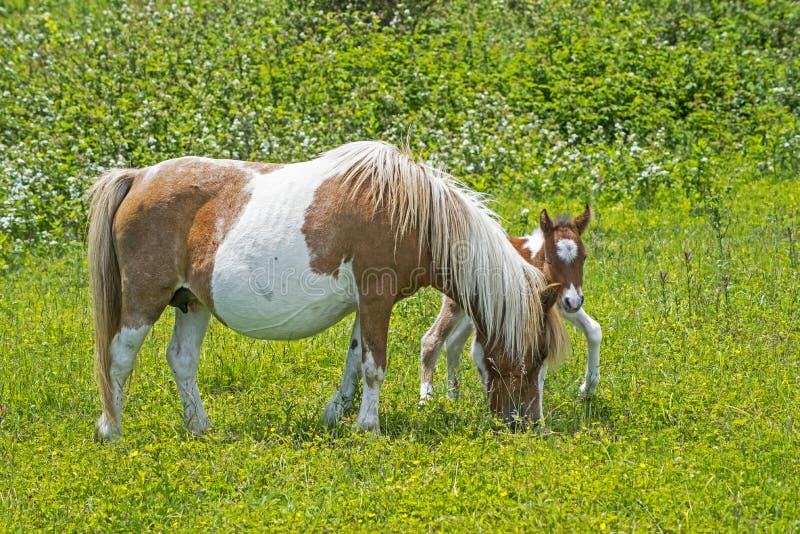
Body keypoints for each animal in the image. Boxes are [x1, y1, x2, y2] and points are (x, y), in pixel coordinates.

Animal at [87, 141, 556, 441]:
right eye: (535, 357)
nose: (527, 424)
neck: (411, 211)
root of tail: (139, 177)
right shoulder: (377, 298)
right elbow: (374, 366)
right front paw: (370, 429)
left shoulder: (364, 304)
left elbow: (353, 363)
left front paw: (336, 416)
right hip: (144, 299)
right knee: (119, 359)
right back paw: (112, 430)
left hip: (191, 302)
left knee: (182, 360)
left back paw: (200, 427)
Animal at [418, 206, 602, 421]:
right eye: (550, 259)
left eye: (584, 258)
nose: (573, 301)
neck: (534, 260)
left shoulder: (552, 307)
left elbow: (593, 330)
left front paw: (587, 389)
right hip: (457, 304)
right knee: (432, 340)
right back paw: (426, 402)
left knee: (453, 343)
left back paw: (453, 398)